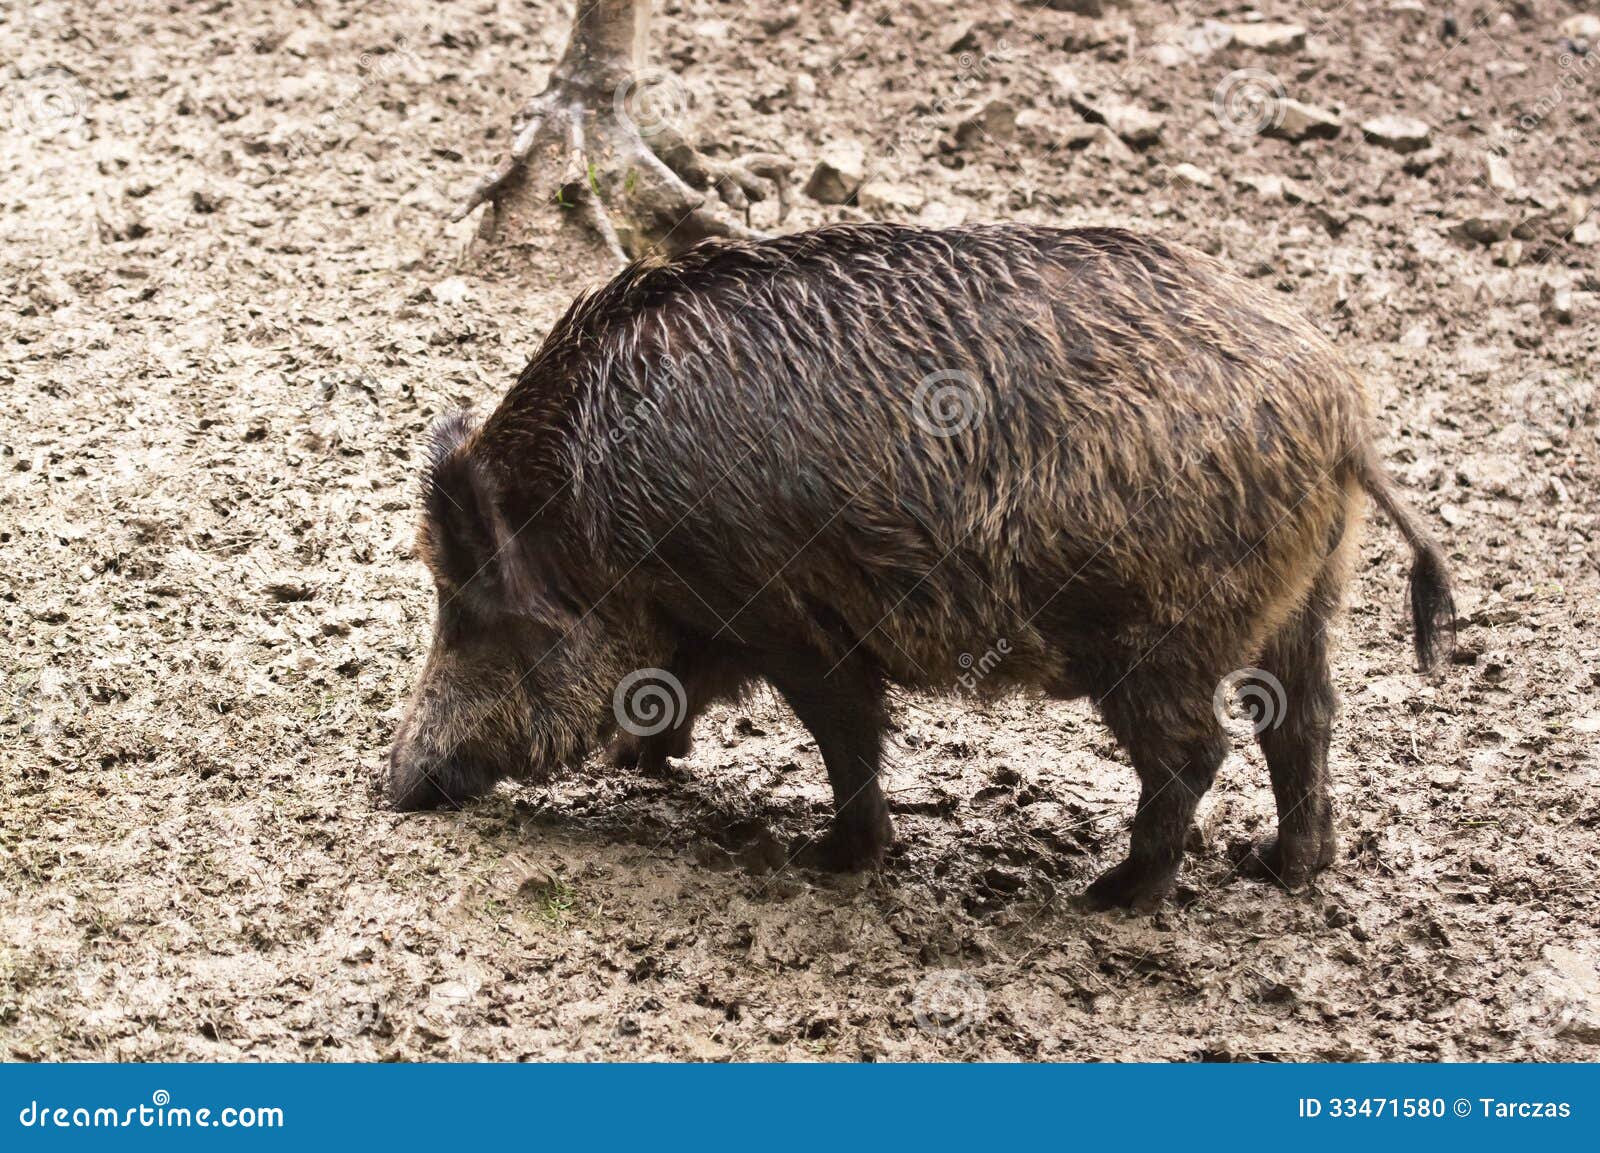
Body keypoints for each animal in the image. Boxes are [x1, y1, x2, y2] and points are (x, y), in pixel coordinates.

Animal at [387, 222, 1454, 910]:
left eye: (469, 605)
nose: (392, 787)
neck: (595, 511)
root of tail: (1342, 411)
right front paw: (639, 761)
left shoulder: (791, 614)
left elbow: (845, 733)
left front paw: (831, 859)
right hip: (1306, 602)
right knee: (1302, 725)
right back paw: (1276, 866)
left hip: (1157, 633)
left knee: (1200, 751)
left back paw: (1109, 897)